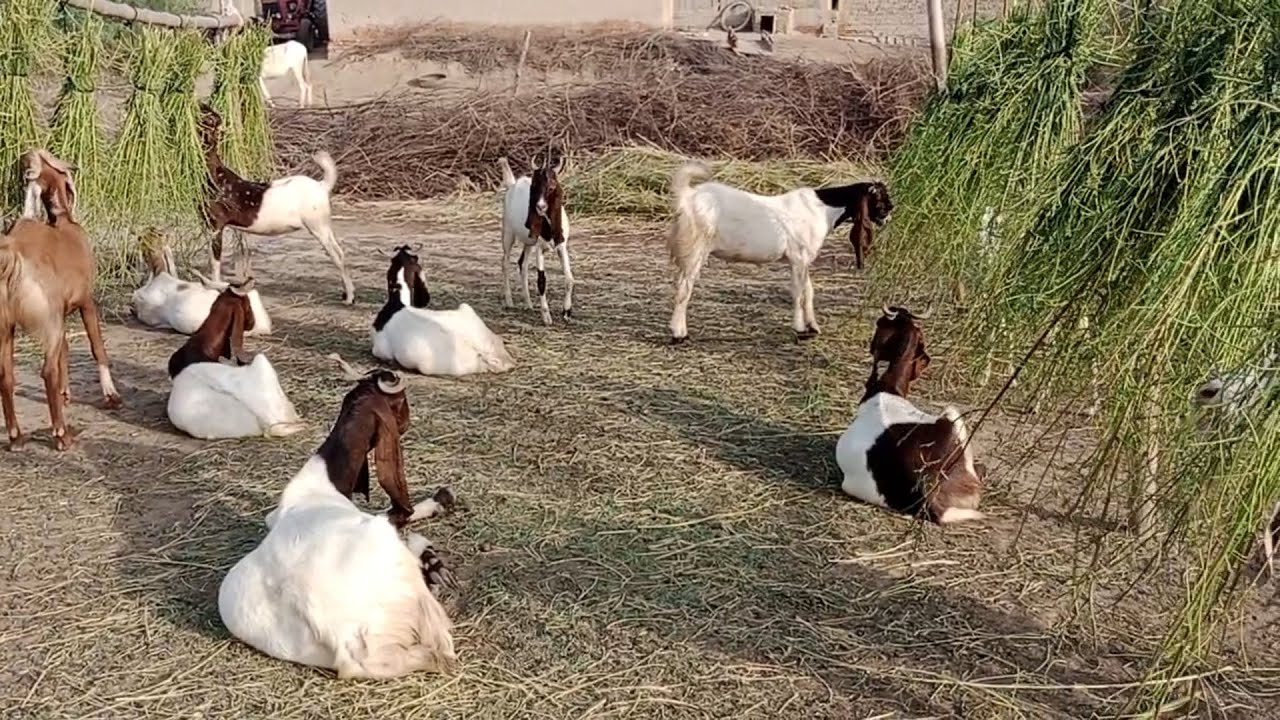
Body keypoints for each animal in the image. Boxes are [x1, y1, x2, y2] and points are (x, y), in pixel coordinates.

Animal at [1, 150, 121, 451]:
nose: (23, 159)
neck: (62, 220)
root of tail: (13, 253)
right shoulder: (86, 302)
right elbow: (98, 348)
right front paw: (111, 394)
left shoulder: (62, 315)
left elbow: (65, 352)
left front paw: (66, 393)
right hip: (48, 323)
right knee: (46, 372)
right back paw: (61, 433)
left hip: (8, 327)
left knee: (6, 376)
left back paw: (17, 436)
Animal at [197, 104, 355, 303]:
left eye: (206, 117)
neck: (216, 177)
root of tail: (322, 185)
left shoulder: (216, 224)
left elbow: (214, 261)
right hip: (324, 224)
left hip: (317, 224)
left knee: (337, 254)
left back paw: (349, 297)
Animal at [220, 366, 458, 678]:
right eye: (400, 402)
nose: (408, 422)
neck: (321, 482)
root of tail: (340, 633)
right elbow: (397, 515)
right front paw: (438, 502)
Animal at [497, 151, 574, 325]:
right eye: (534, 186)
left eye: (552, 186)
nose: (540, 206)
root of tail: (513, 185)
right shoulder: (540, 248)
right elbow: (541, 280)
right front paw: (546, 317)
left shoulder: (561, 245)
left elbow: (569, 278)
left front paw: (566, 312)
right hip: (508, 234)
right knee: (505, 263)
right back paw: (509, 301)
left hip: (528, 242)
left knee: (522, 264)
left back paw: (528, 304)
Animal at [666, 161, 893, 343]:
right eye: (881, 200)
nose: (890, 213)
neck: (822, 209)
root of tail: (688, 196)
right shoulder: (798, 257)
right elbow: (799, 292)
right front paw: (800, 329)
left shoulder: (803, 260)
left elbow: (809, 291)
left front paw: (813, 327)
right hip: (695, 249)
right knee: (684, 287)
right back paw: (679, 334)